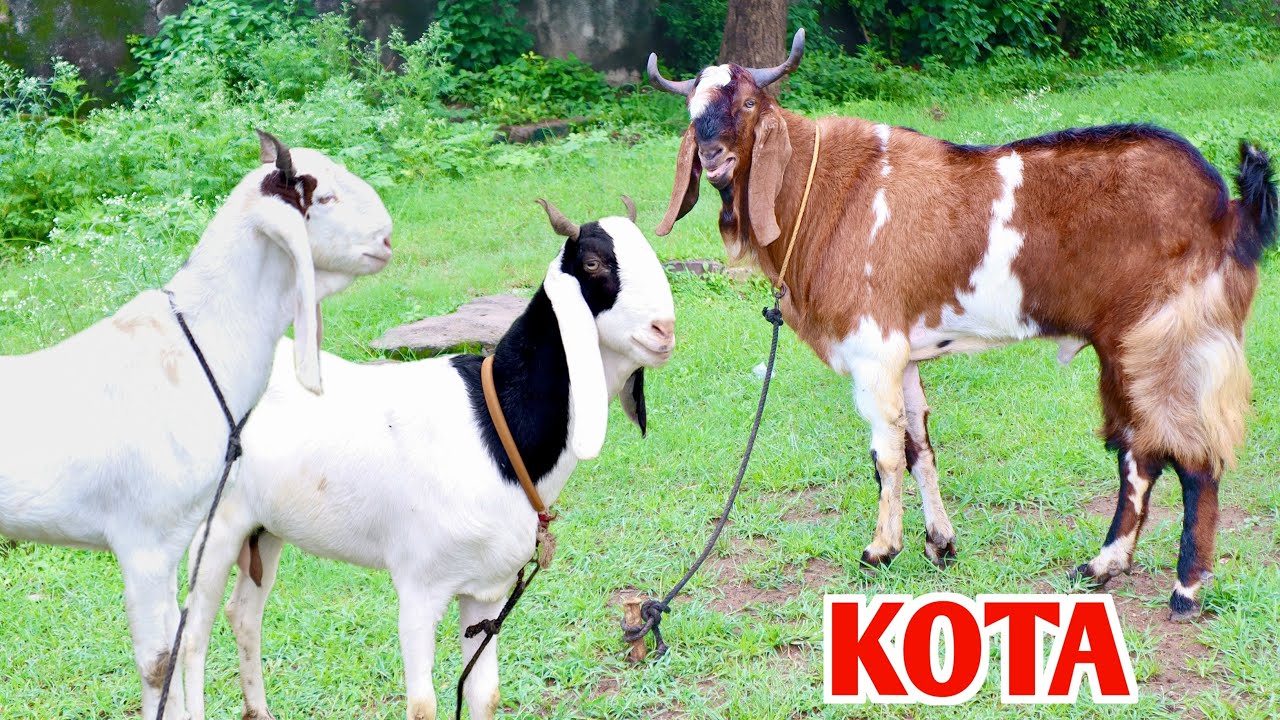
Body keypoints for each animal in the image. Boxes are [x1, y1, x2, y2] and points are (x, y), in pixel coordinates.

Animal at [0, 131, 393, 718]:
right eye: (323, 197)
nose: (386, 240)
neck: (198, 347)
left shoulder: (176, 539)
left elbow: (177, 641)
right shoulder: (141, 544)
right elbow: (158, 662)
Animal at [178, 198, 675, 720]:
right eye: (594, 264)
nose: (663, 330)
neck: (494, 424)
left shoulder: (485, 591)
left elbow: (484, 694)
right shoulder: (418, 587)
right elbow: (422, 704)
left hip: (265, 527)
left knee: (243, 614)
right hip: (215, 525)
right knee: (192, 636)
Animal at [649, 29, 1278, 619]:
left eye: (749, 103)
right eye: (691, 112)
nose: (712, 156)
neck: (823, 188)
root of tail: (1227, 210)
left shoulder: (873, 349)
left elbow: (883, 454)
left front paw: (880, 551)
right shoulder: (903, 352)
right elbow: (918, 448)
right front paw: (939, 544)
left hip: (1168, 341)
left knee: (1192, 461)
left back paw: (1185, 589)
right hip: (1131, 350)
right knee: (1140, 454)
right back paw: (1102, 566)